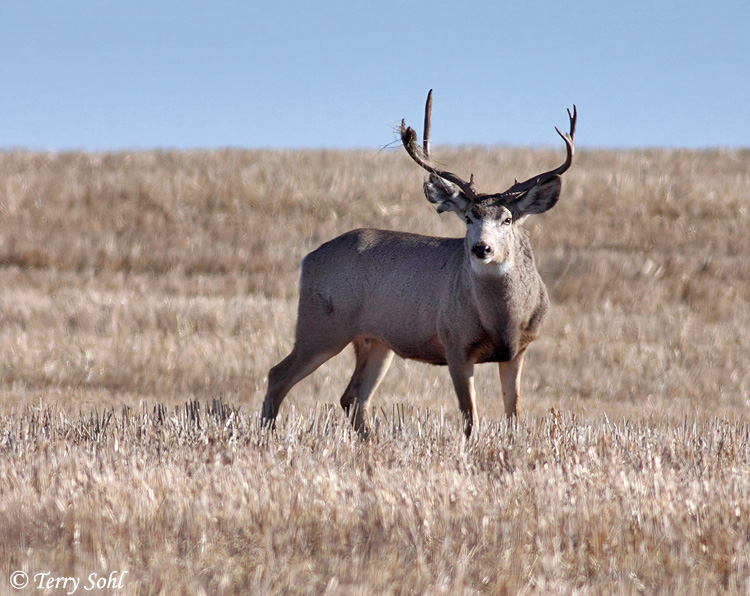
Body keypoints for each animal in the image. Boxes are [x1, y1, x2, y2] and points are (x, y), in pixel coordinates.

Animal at [262, 91, 576, 437]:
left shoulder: (518, 350)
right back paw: (267, 435)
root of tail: (308, 260)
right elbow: (470, 417)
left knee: (352, 397)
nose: (481, 248)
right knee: (278, 375)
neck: (502, 321)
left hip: (375, 340)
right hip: (320, 324)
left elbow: (514, 413)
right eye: (469, 218)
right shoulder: (454, 343)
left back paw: (369, 441)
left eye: (507, 219)